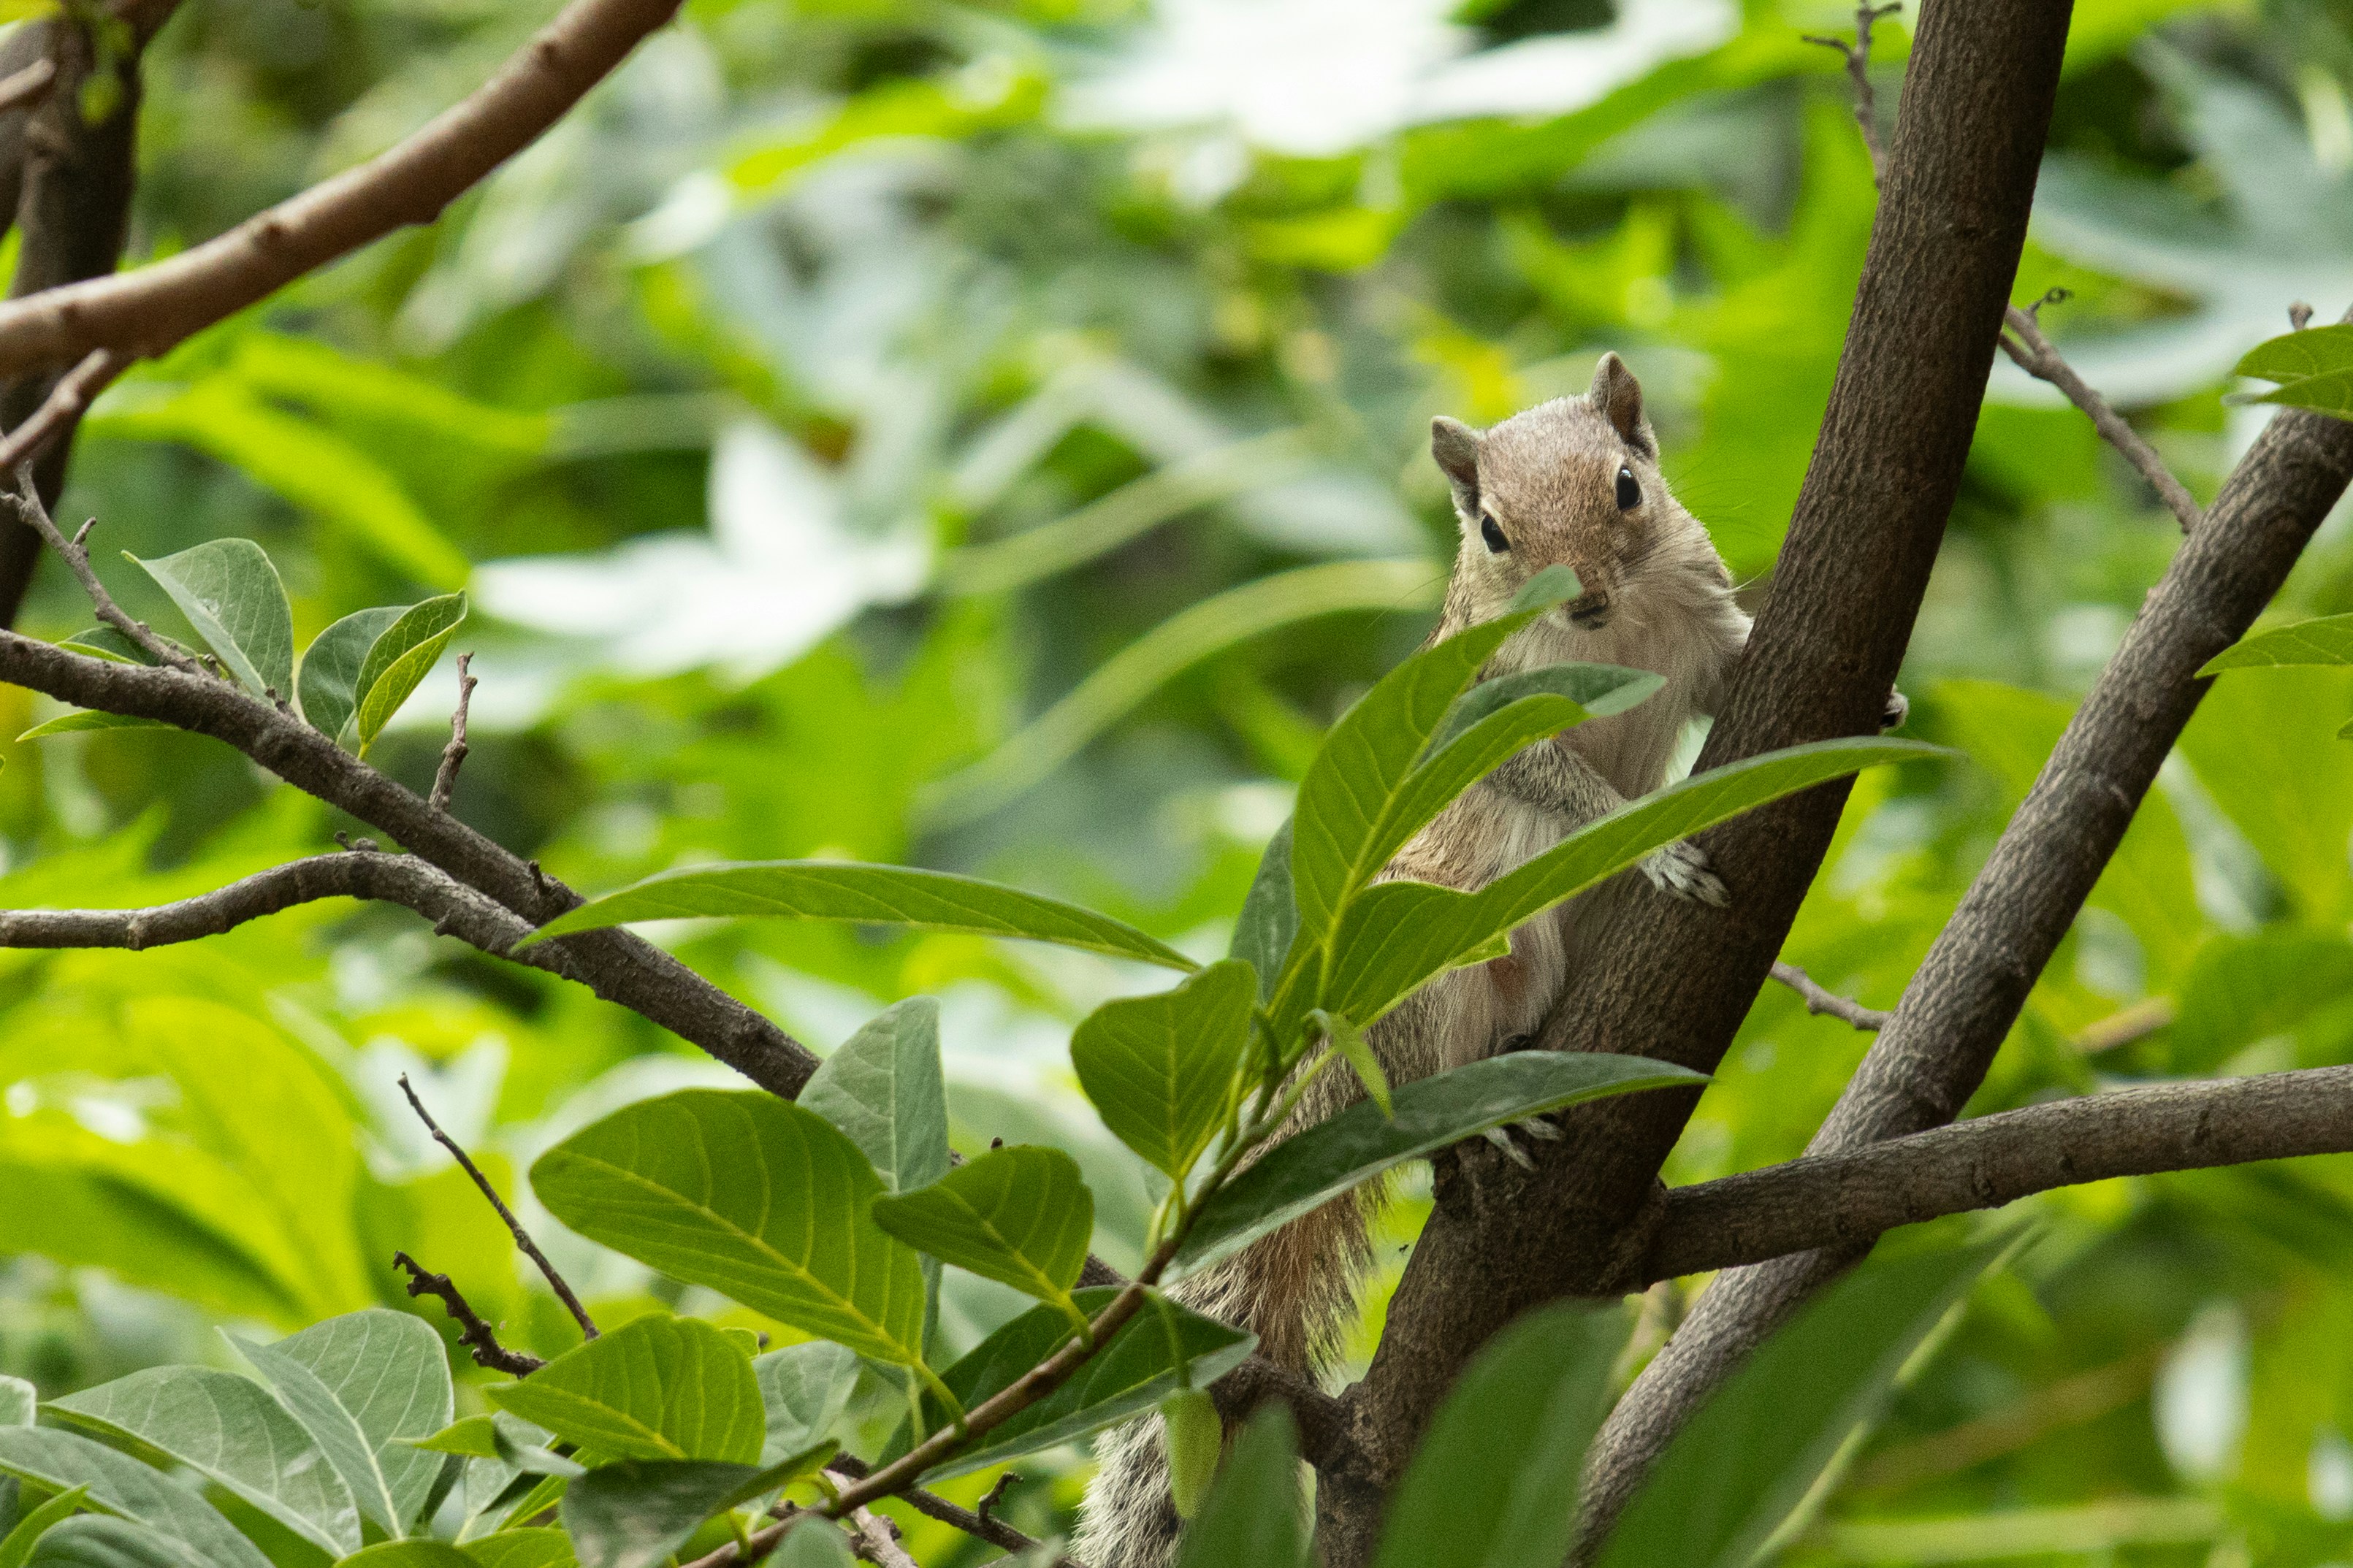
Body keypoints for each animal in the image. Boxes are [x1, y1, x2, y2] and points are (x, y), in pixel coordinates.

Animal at [1074, 353, 1757, 1568]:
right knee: (1425, 1085)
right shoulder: (1487, 707)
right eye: (1491, 530)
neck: (1616, 632)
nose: (1580, 596)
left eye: (1628, 486)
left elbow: (1731, 667)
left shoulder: (1703, 606)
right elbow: (1554, 780)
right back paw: (1483, 1120)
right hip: (1429, 972)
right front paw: (1654, 835)